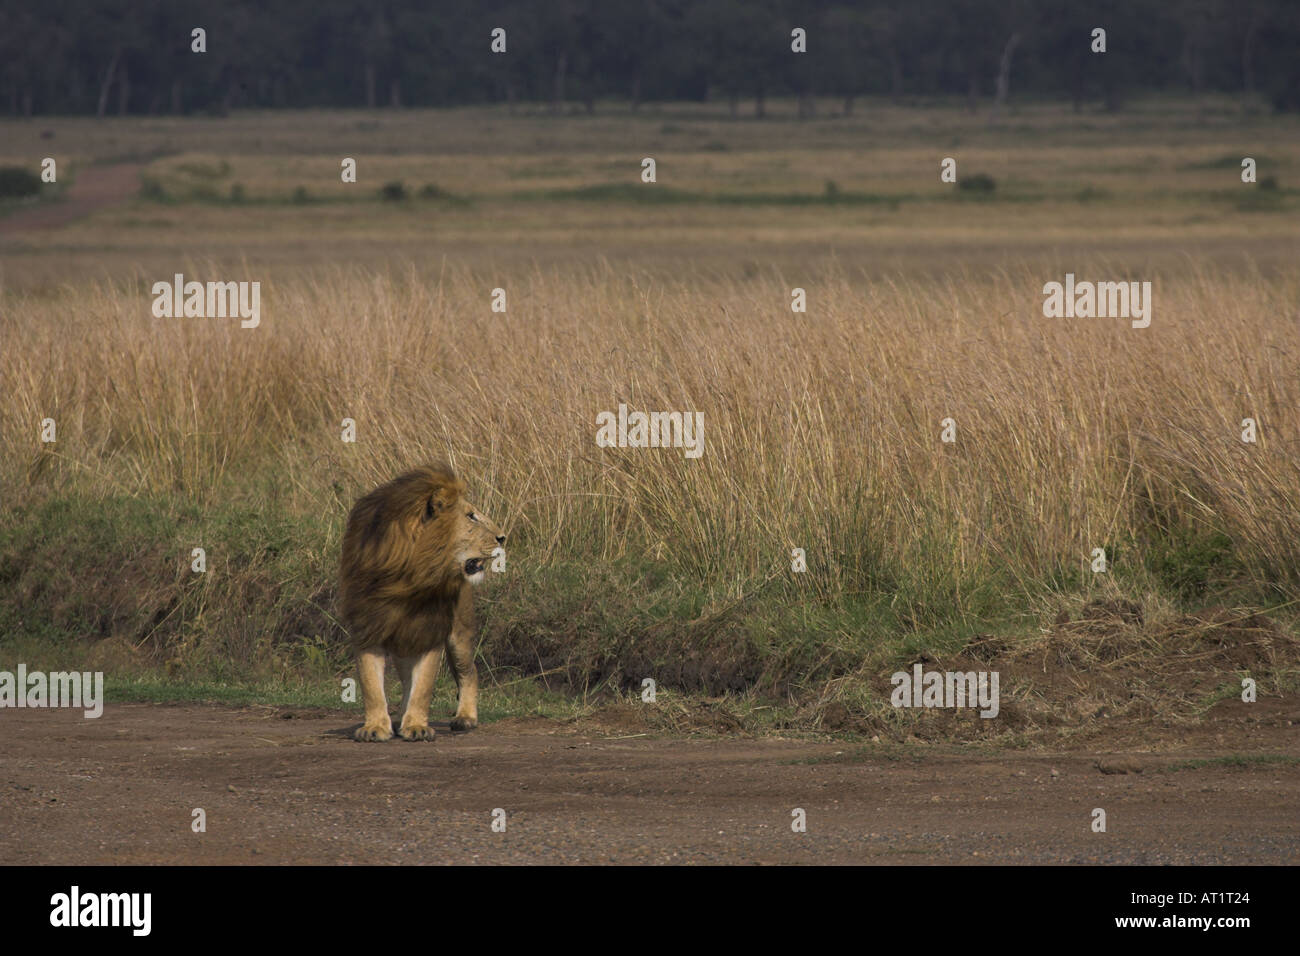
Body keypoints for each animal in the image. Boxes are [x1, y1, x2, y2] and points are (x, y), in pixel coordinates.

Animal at [339, 464, 505, 742]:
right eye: (470, 516)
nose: (503, 538)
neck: (409, 577)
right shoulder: (368, 627)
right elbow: (371, 685)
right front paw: (376, 727)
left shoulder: (431, 627)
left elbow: (424, 685)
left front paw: (416, 726)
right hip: (405, 641)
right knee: (407, 680)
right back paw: (399, 719)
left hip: (459, 634)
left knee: (469, 672)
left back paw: (465, 718)